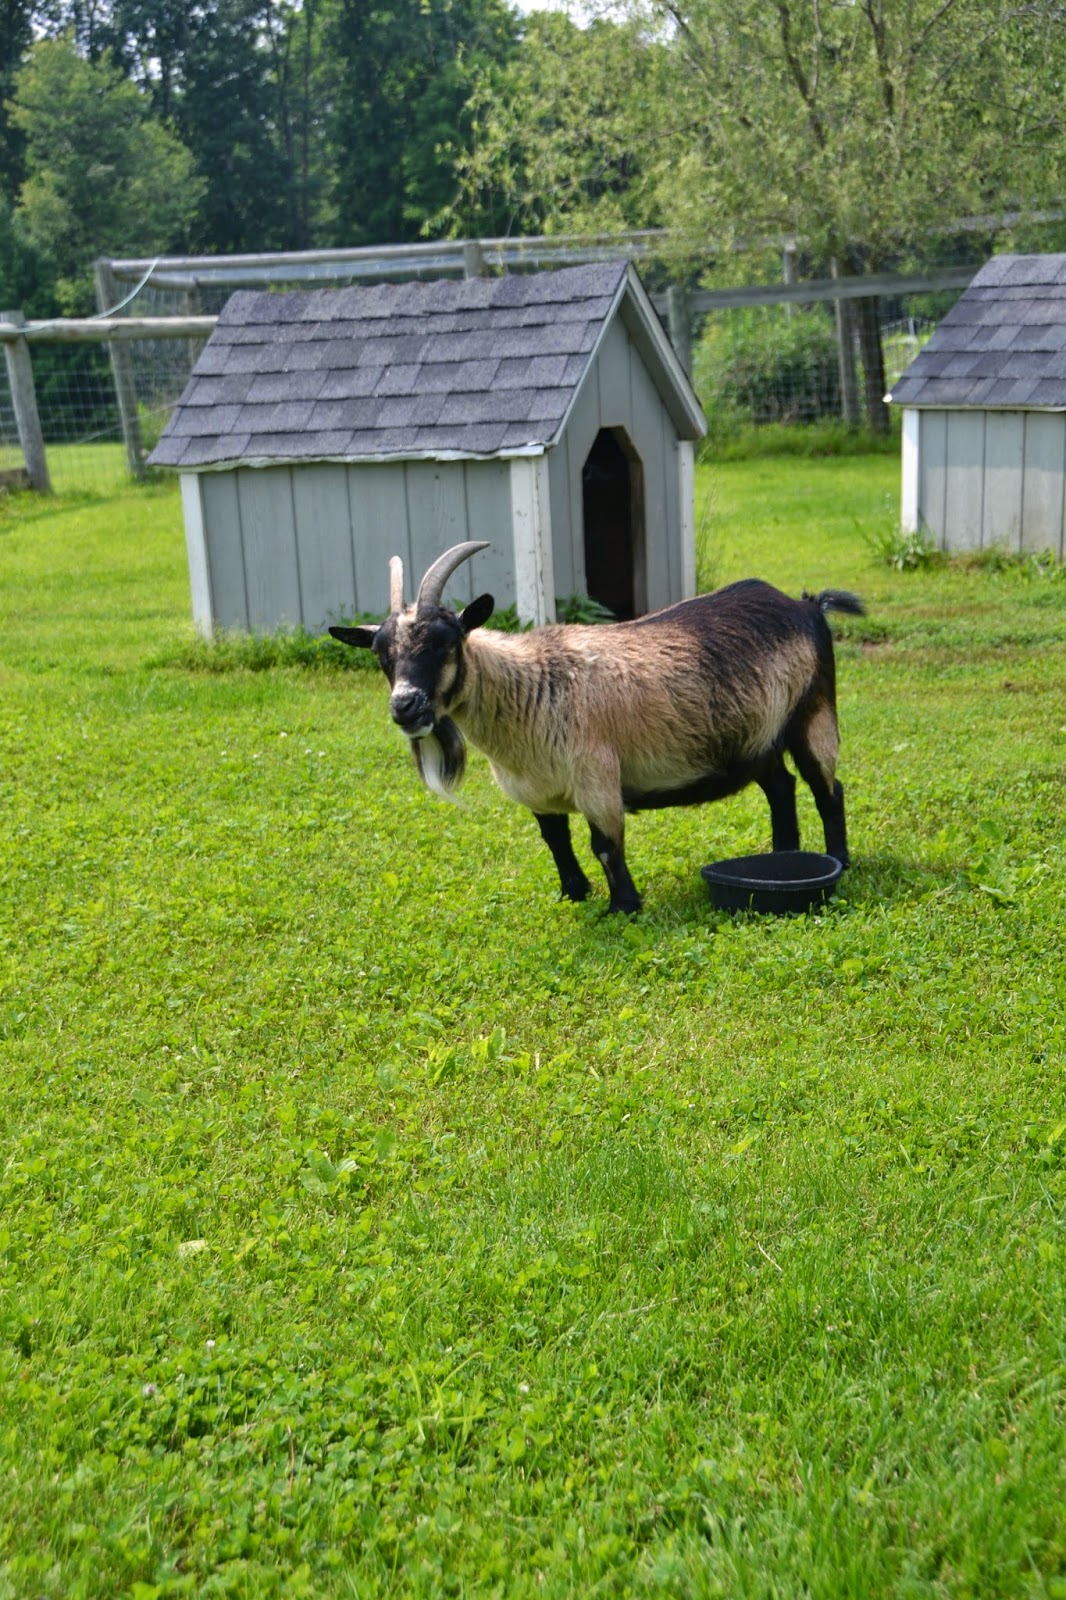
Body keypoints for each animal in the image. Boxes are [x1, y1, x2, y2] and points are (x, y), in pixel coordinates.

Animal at [330, 541, 864, 913]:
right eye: (381, 654)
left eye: (446, 641)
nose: (405, 707)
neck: (532, 688)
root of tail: (806, 604)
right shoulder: (537, 789)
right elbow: (555, 841)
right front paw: (573, 893)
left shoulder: (596, 777)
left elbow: (604, 844)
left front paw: (624, 905)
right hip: (757, 738)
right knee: (781, 787)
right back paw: (783, 851)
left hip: (814, 714)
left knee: (827, 789)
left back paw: (841, 860)